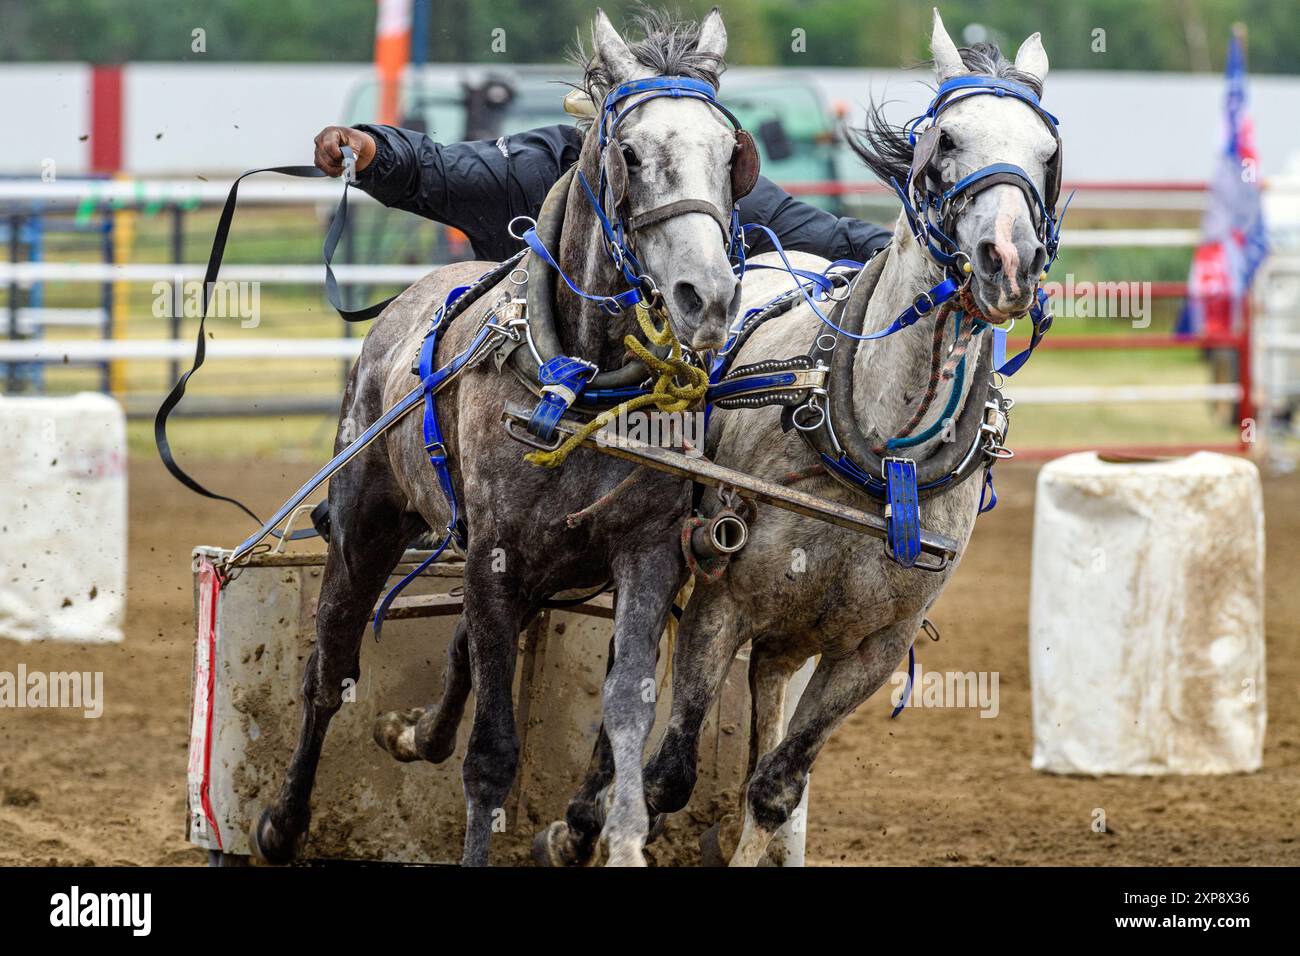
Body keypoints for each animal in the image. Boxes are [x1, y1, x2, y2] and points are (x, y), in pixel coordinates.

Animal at [250, 7, 755, 867]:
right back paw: (283, 823)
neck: (580, 385)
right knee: (330, 666)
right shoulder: (495, 556)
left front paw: (618, 835)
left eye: (730, 155)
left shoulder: (647, 552)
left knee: (459, 655)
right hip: (365, 529)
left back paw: (414, 733)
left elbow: (624, 714)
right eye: (629, 153)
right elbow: (491, 752)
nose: (708, 295)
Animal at [537, 10, 1064, 866]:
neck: (879, 453)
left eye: (1047, 154)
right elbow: (670, 774)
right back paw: (580, 818)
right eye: (947, 139)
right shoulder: (721, 602)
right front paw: (587, 824)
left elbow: (775, 786)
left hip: (796, 632)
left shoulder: (874, 648)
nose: (1008, 260)